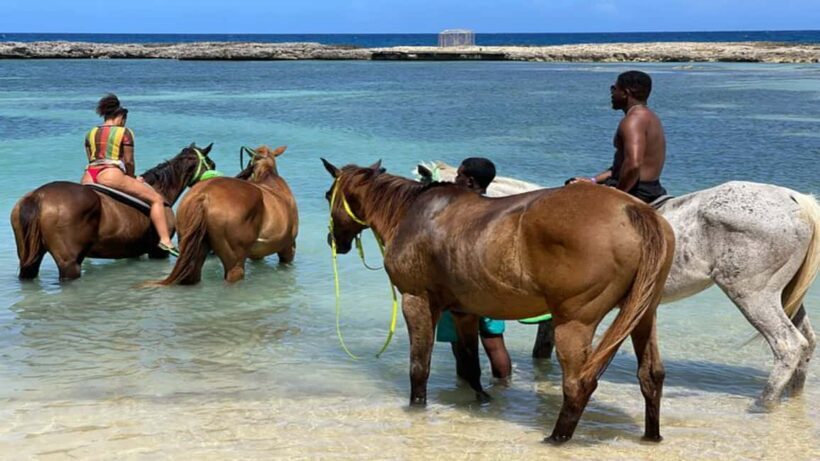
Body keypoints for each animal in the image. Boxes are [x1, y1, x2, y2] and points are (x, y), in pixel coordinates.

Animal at [11, 143, 216, 281]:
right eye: (211, 164)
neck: (160, 191)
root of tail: (38, 196)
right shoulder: (157, 252)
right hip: (69, 263)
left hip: (29, 259)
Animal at [322, 159, 675, 443]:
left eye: (328, 195)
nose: (333, 240)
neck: (412, 214)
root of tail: (635, 211)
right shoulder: (464, 312)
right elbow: (471, 367)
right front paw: (480, 402)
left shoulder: (416, 302)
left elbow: (419, 368)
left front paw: (417, 408)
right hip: (644, 315)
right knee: (651, 375)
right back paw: (652, 436)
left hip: (574, 323)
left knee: (579, 383)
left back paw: (557, 438)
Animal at [420, 161, 820, 408]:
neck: (521, 221)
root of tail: (794, 199)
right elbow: (543, 351)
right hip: (785, 294)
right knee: (807, 342)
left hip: (752, 293)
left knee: (788, 345)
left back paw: (763, 404)